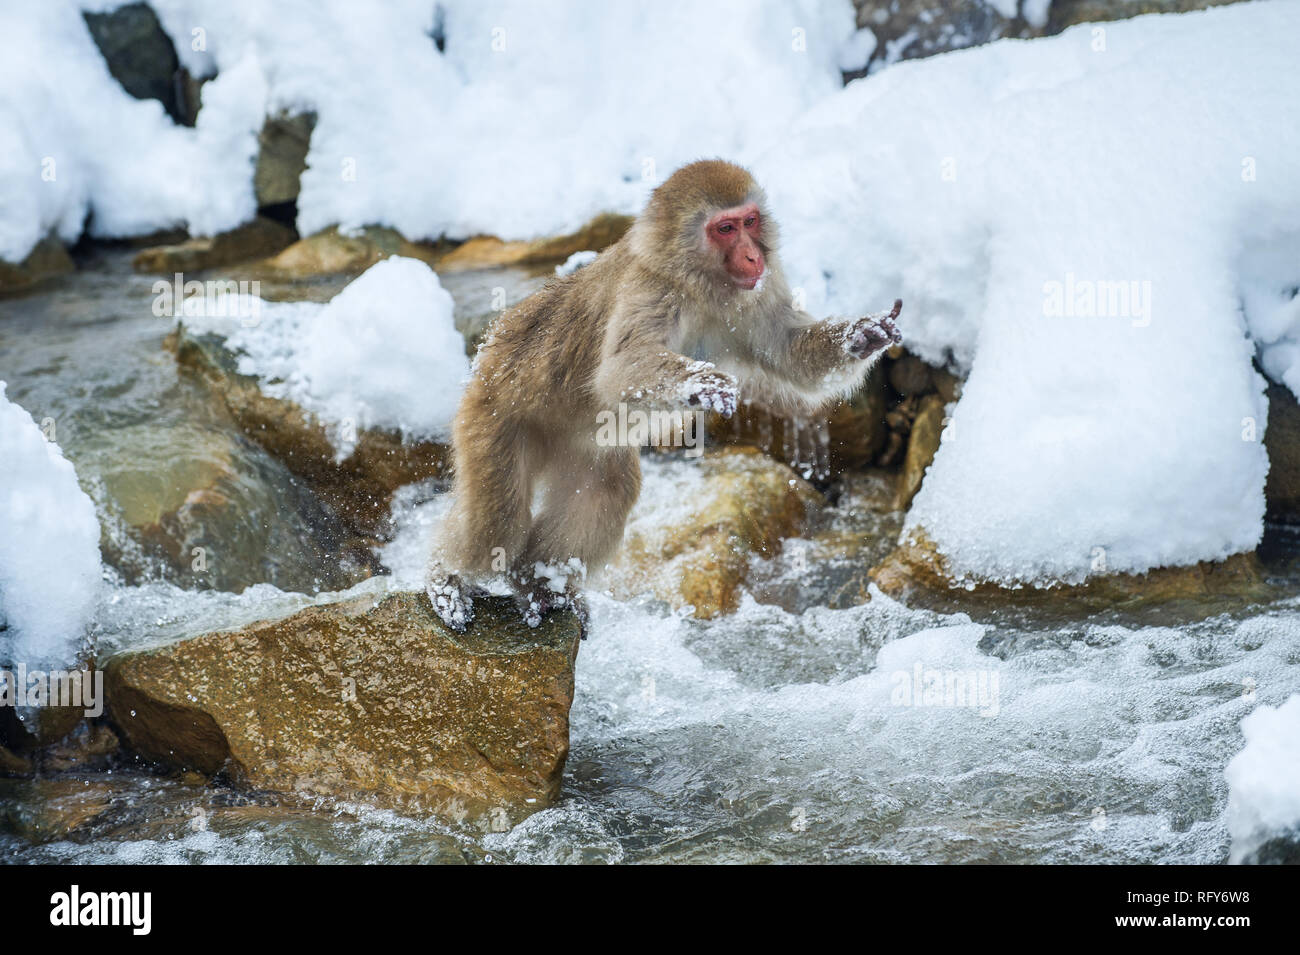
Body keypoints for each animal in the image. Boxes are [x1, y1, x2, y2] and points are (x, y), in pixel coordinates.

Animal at [426, 159, 901, 635]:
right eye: (725, 228)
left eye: (750, 221)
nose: (755, 256)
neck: (698, 284)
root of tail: (487, 353)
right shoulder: (652, 290)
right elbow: (619, 369)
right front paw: (701, 383)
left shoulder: (759, 291)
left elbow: (789, 353)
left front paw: (863, 335)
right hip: (493, 416)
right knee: (497, 525)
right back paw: (447, 580)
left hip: (580, 446)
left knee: (607, 490)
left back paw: (539, 584)